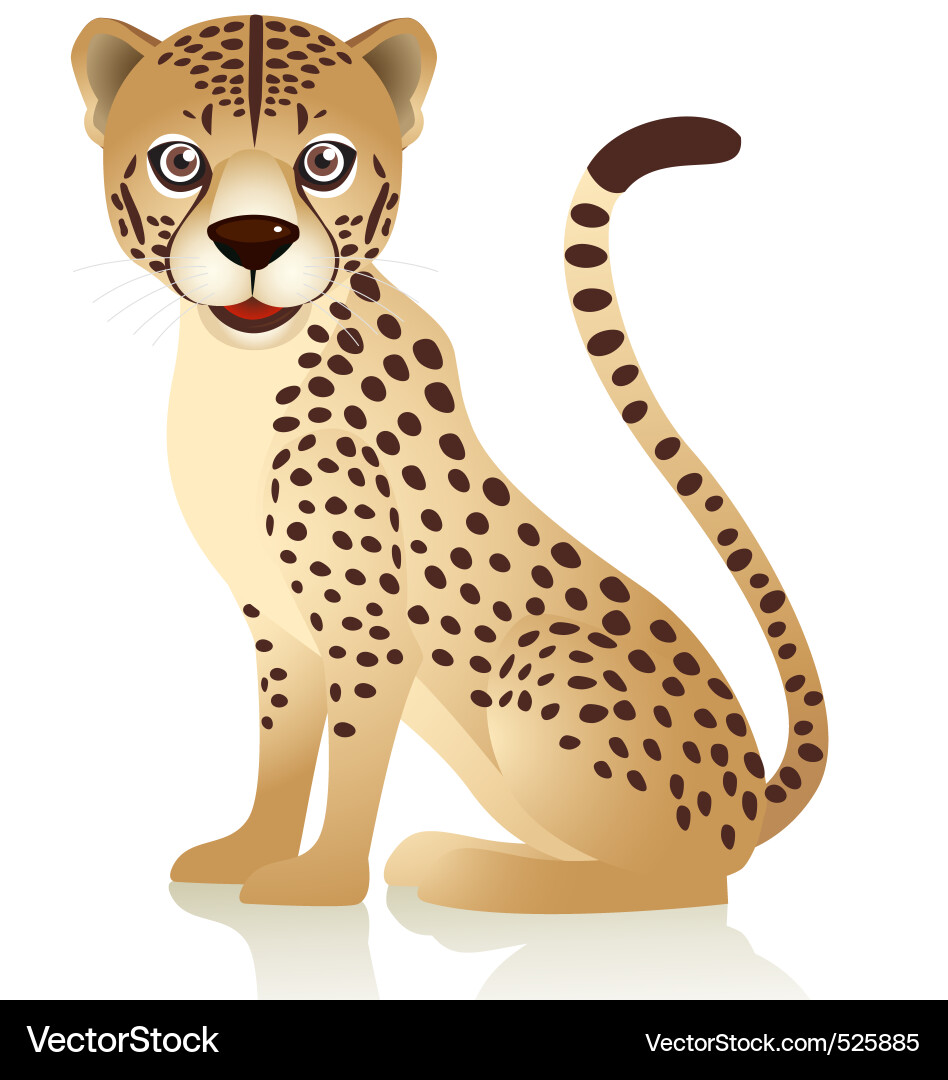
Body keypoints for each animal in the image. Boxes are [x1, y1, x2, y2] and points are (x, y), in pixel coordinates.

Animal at [71, 13, 827, 913]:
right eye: (178, 161)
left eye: (325, 161)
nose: (254, 239)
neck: (250, 362)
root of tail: (747, 797)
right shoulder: (279, 628)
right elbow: (281, 752)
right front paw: (250, 853)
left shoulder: (367, 632)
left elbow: (353, 758)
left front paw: (324, 880)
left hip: (547, 674)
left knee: (686, 882)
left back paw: (475, 873)